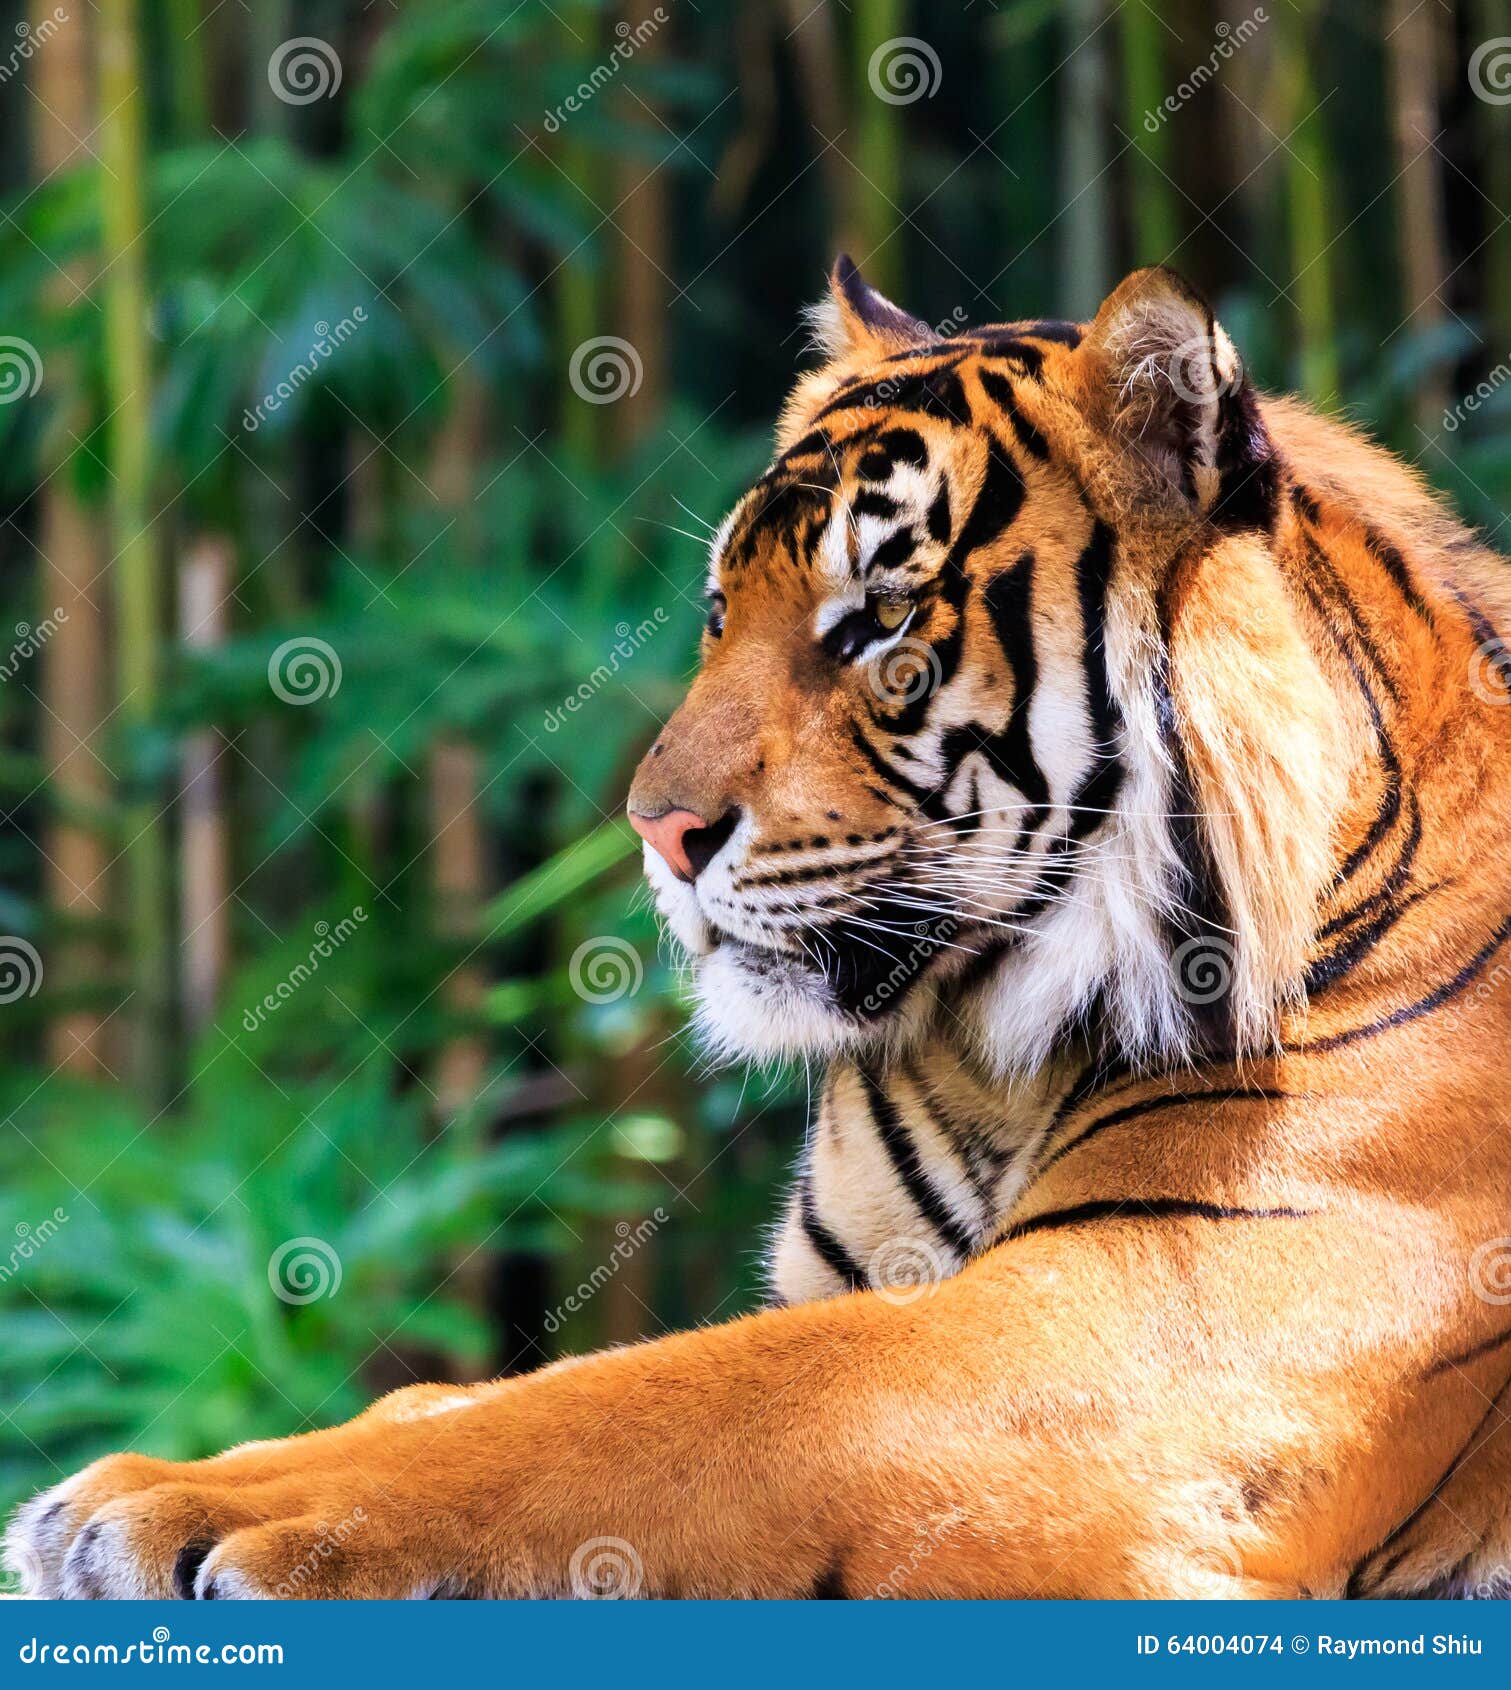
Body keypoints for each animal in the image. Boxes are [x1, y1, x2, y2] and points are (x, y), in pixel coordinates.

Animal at [10, 257, 1511, 1600]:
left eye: (878, 620)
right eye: (720, 611)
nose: (654, 829)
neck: (988, 1055)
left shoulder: (1133, 1309)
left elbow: (638, 1404)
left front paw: (166, 1503)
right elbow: (500, 1387)